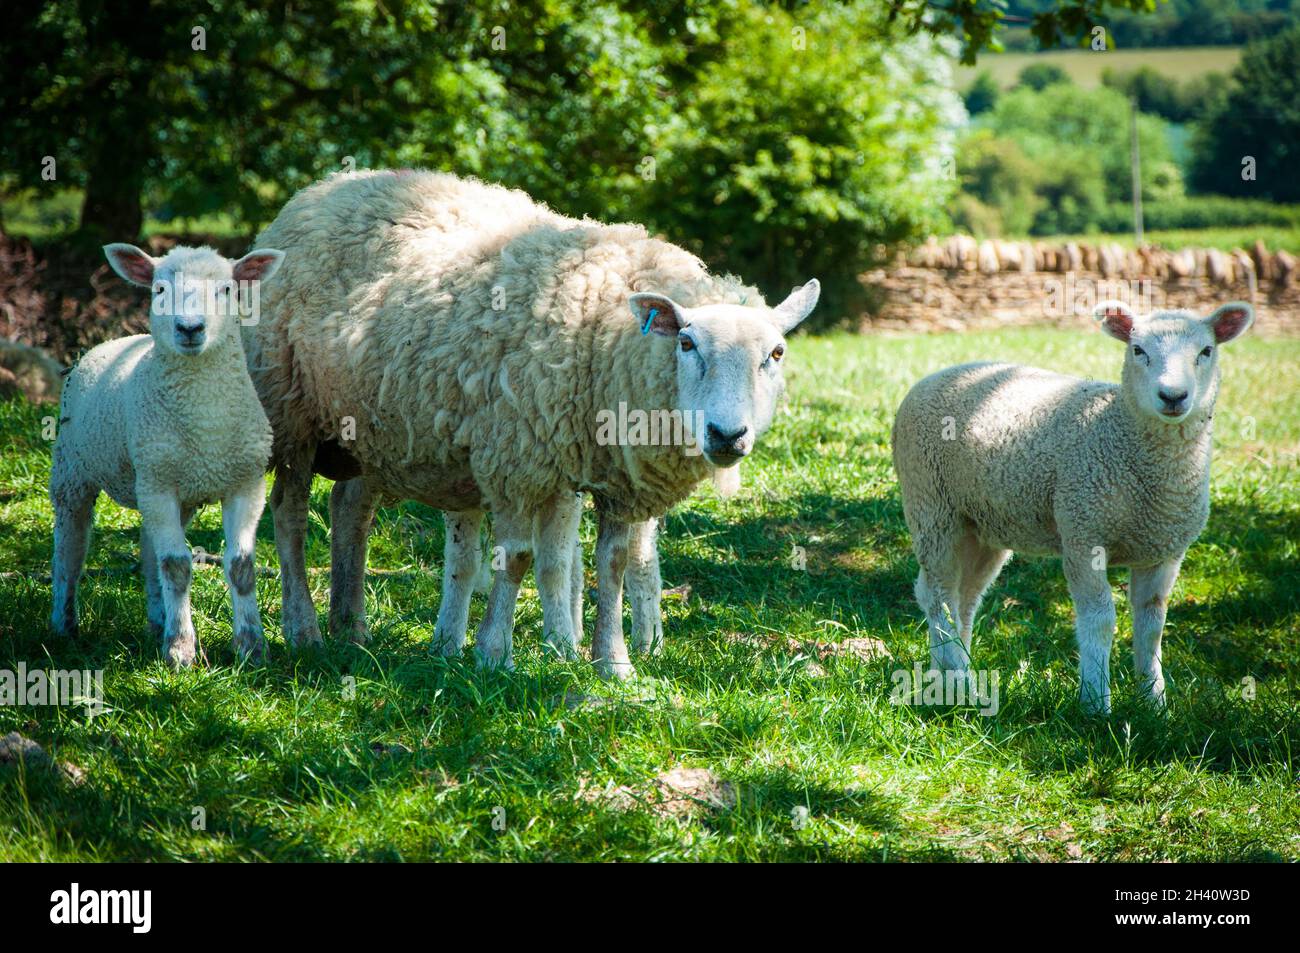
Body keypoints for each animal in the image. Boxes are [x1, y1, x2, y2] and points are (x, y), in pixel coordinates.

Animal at [50, 243, 284, 667]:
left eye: (227, 289)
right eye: (159, 289)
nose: (190, 329)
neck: (205, 421)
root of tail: (116, 341)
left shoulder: (245, 481)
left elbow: (240, 566)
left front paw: (252, 647)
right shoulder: (159, 485)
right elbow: (177, 566)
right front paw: (180, 651)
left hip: (167, 486)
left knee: (148, 552)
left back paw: (157, 620)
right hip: (74, 471)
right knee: (69, 550)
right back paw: (64, 624)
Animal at [244, 169, 819, 678]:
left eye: (776, 353)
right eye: (686, 343)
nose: (728, 435)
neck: (602, 330)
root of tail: (326, 188)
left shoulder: (610, 478)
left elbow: (609, 563)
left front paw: (613, 665)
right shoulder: (516, 462)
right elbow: (519, 559)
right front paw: (494, 655)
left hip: (362, 431)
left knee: (349, 512)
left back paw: (351, 627)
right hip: (290, 414)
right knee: (289, 517)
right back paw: (302, 630)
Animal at [891, 299, 1253, 714]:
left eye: (1206, 351)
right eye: (1138, 350)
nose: (1172, 396)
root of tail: (936, 375)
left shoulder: (1164, 550)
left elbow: (1152, 624)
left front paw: (1154, 702)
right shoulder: (1083, 533)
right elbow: (1099, 619)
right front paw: (1096, 703)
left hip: (980, 525)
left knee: (961, 597)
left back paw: (946, 678)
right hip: (931, 505)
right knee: (939, 598)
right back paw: (962, 680)